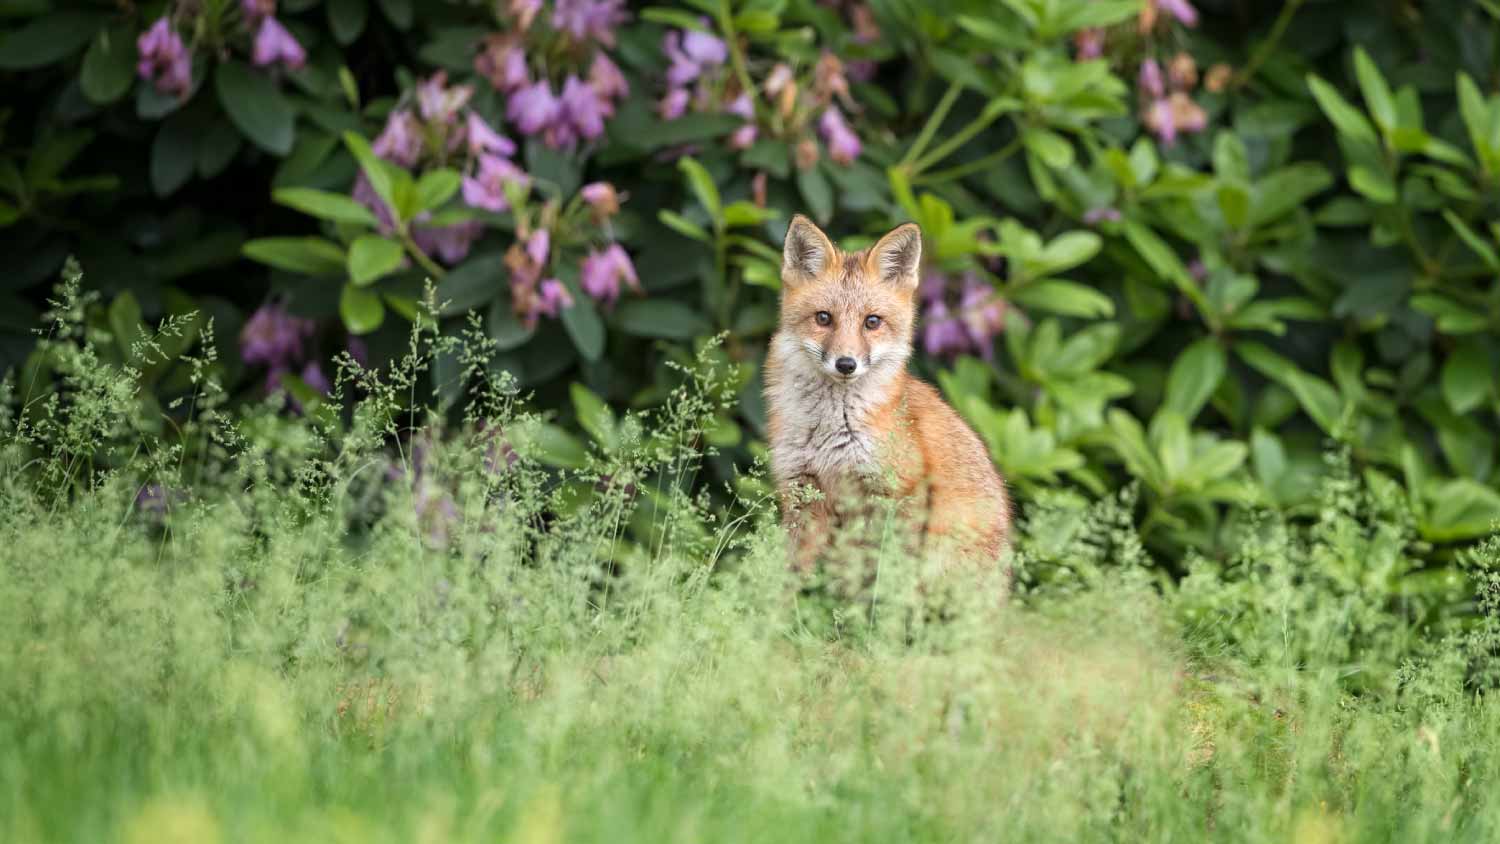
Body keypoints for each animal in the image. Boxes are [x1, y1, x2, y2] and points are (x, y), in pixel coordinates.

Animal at [763, 215, 1011, 577]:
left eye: (872, 322)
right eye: (823, 318)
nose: (846, 364)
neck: (828, 430)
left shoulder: (897, 493)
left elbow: (881, 578)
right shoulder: (803, 491)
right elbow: (789, 580)